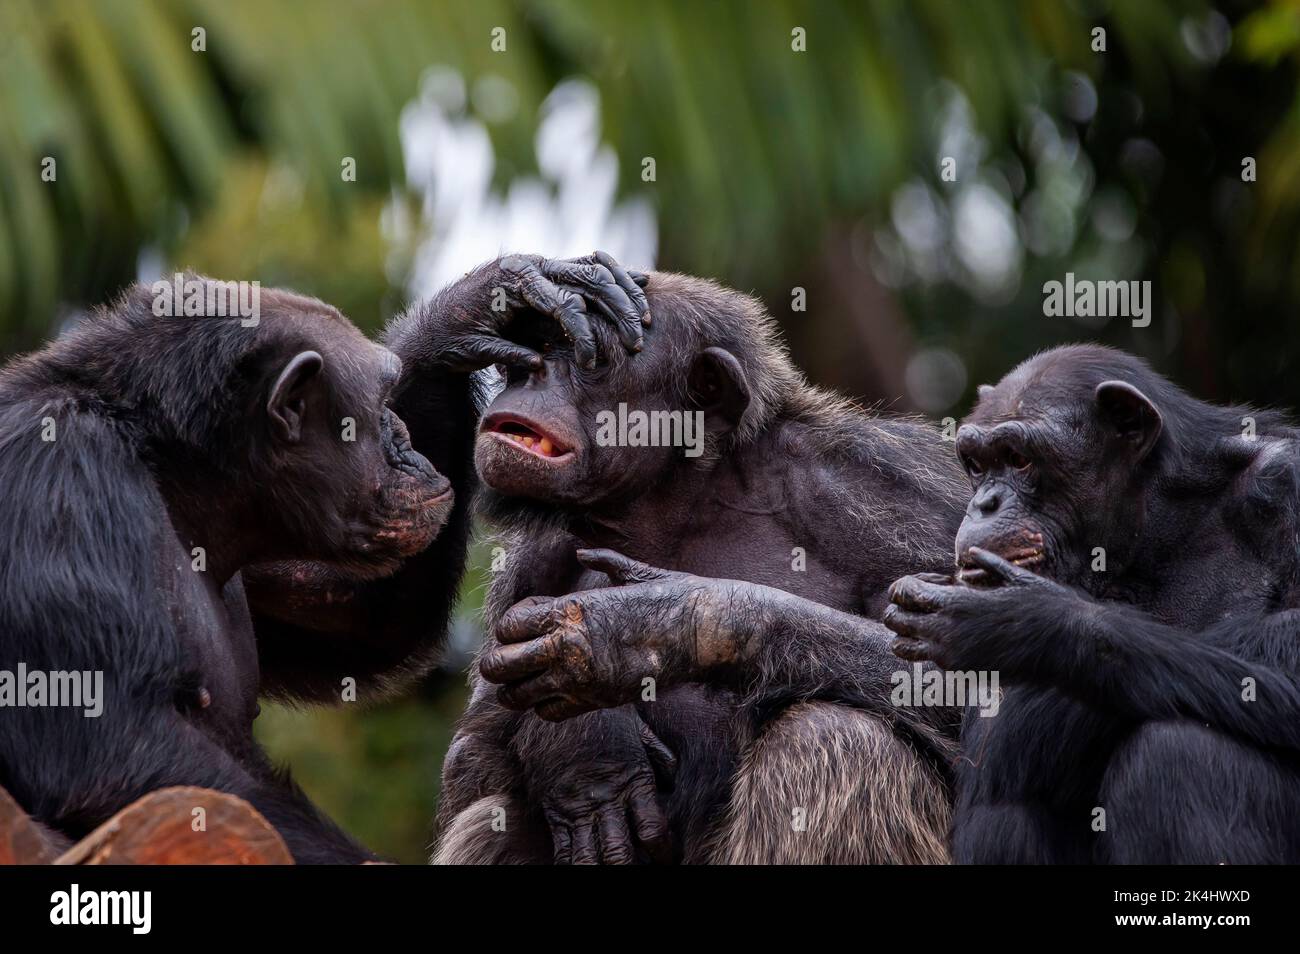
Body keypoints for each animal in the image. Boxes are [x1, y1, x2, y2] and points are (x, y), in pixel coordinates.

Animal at [1, 263, 644, 868]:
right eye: (379, 405)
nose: (404, 438)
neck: (168, 473)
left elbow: (364, 622)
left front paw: (472, 310)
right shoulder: (58, 475)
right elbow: (105, 749)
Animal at [431, 270, 972, 868]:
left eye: (584, 354)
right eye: (531, 350)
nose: (531, 372)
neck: (679, 497)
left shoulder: (892, 499)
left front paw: (643, 628)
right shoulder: (533, 560)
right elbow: (469, 759)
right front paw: (584, 750)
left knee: (835, 738)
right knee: (492, 819)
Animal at [889, 345, 1300, 868]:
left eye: (1018, 459)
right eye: (977, 465)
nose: (984, 502)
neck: (1161, 524)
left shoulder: (1286, 480)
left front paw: (1025, 622)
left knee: (1181, 749)